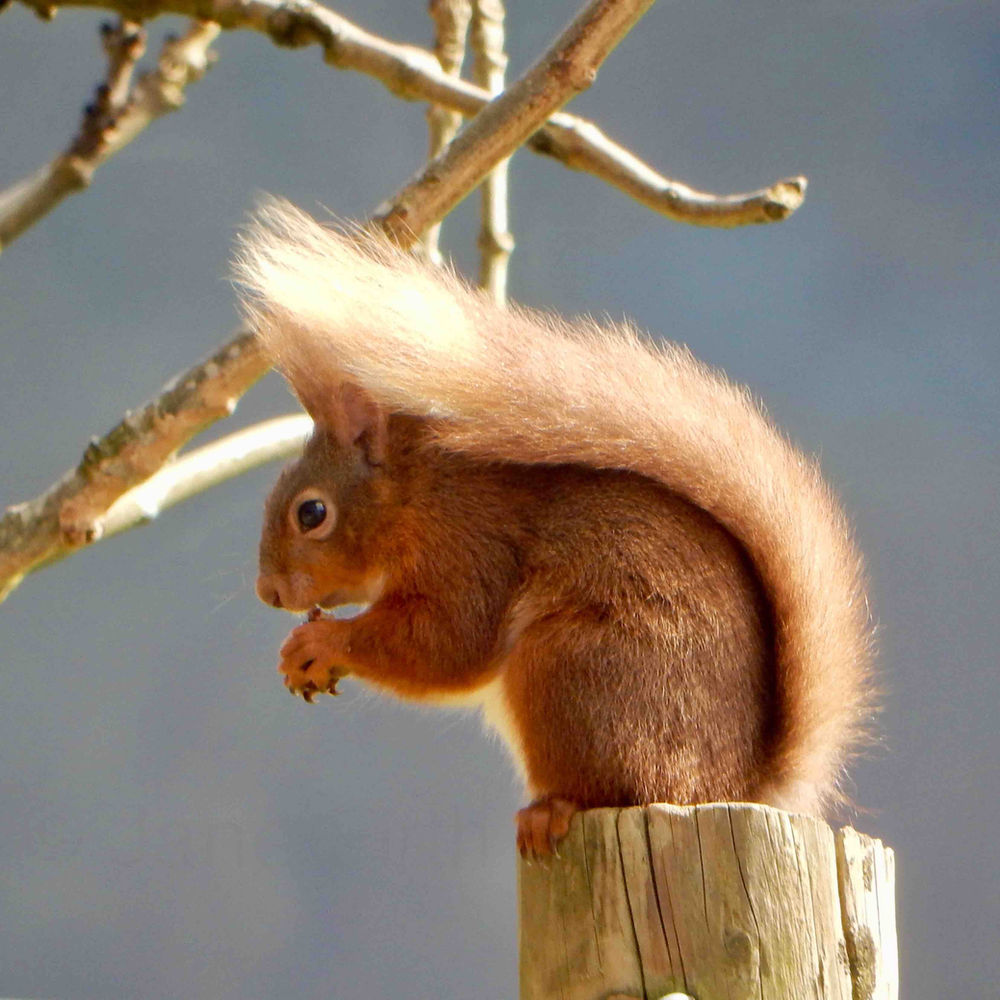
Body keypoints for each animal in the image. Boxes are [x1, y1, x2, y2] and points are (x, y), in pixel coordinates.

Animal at [235, 198, 875, 856]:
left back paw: (553, 810)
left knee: (616, 786)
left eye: (312, 513)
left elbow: (448, 646)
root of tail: (735, 785)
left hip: (571, 672)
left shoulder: (467, 546)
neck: (414, 496)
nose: (269, 592)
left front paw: (321, 643)